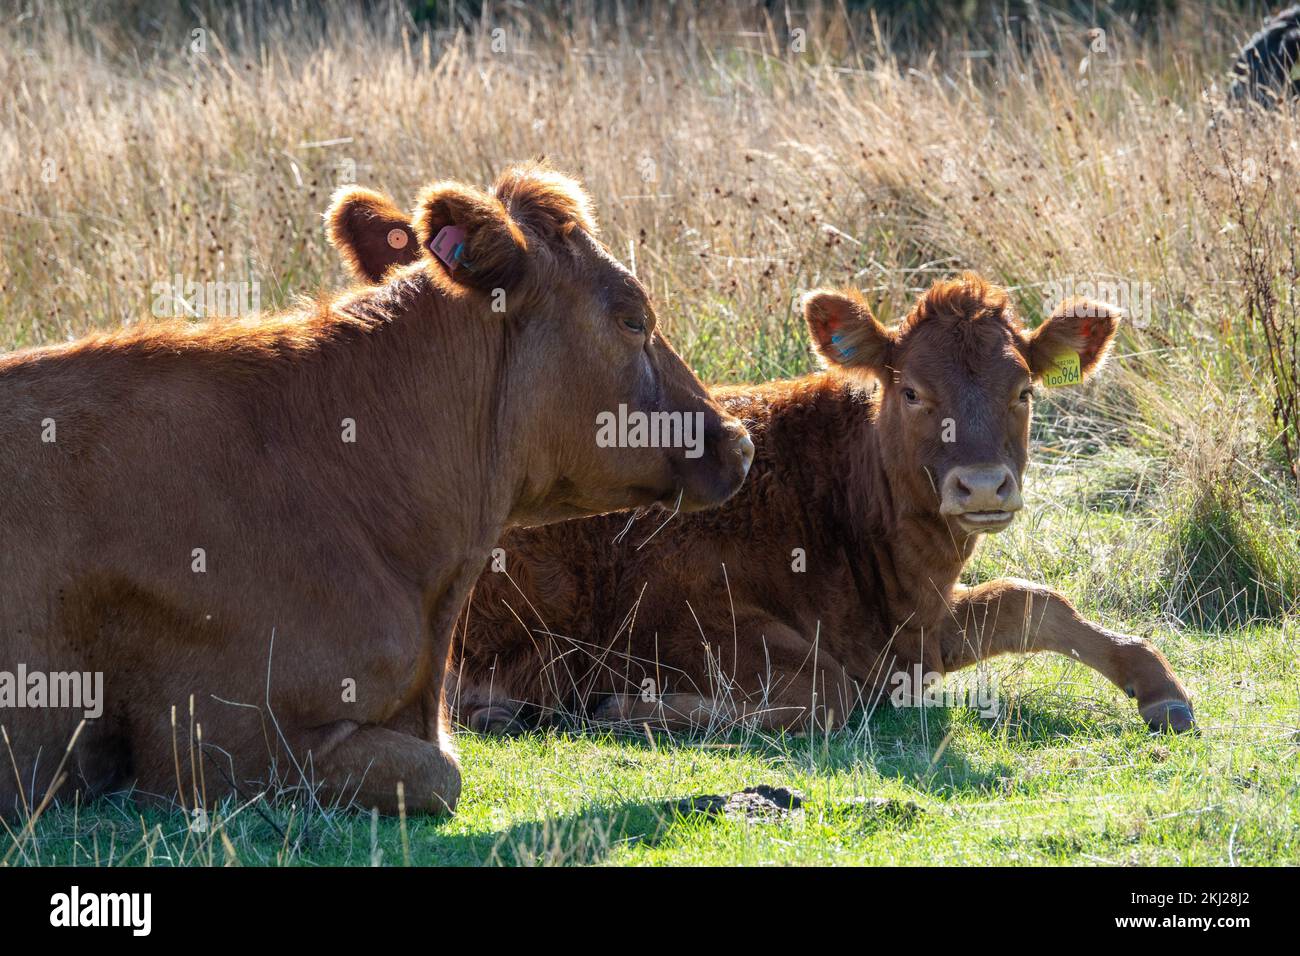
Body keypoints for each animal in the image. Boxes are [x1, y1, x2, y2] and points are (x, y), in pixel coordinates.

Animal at [330, 204, 1196, 739]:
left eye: (1024, 390)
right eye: (911, 390)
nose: (981, 485)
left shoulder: (909, 634)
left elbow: (1032, 601)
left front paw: (1156, 684)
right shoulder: (680, 618)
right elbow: (825, 694)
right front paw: (631, 711)